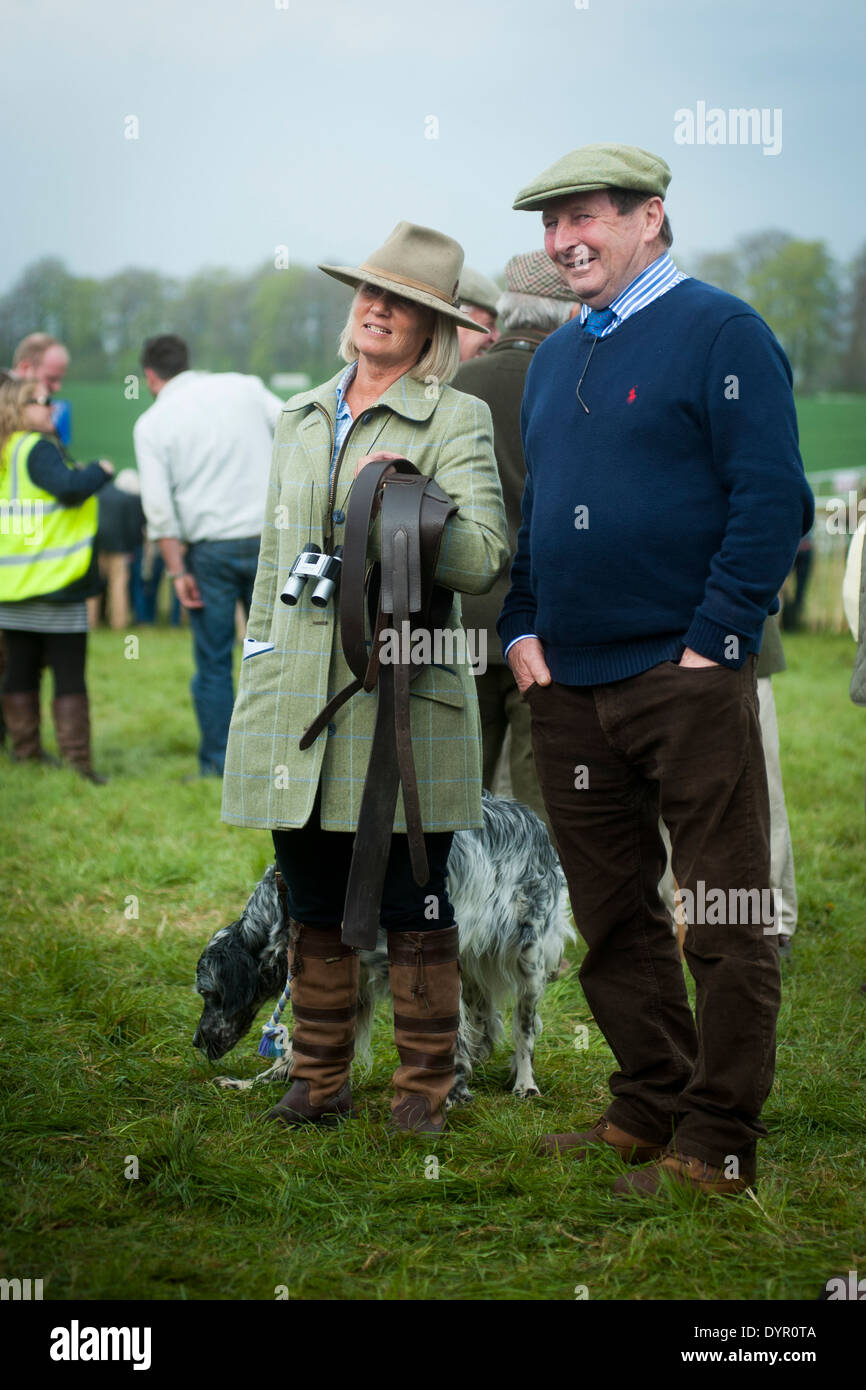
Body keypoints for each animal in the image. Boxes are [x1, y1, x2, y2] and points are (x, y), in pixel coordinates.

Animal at [195, 795, 575, 1106]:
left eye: (207, 993)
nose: (197, 1042)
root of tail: (533, 818)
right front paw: (251, 1083)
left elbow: (450, 1036)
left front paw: (452, 1093)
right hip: (468, 958)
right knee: (483, 1017)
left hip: (528, 959)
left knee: (524, 1028)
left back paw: (525, 1083)